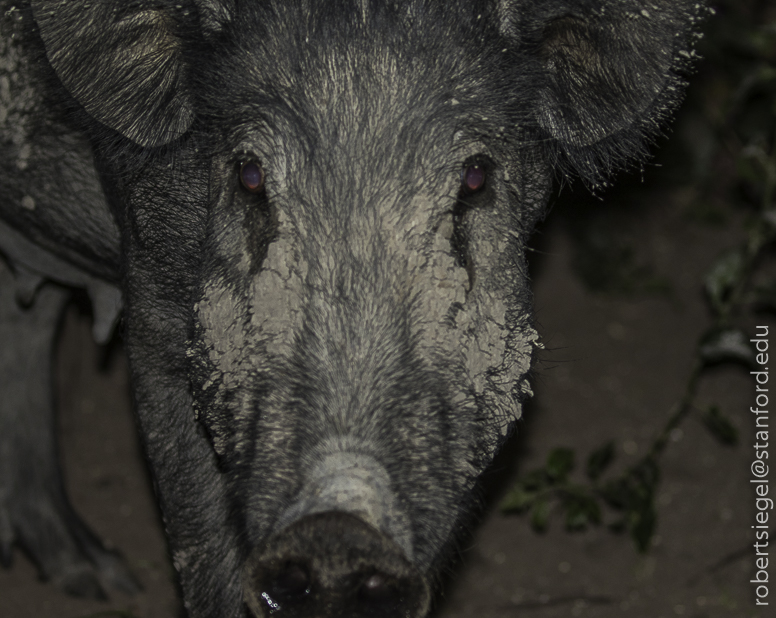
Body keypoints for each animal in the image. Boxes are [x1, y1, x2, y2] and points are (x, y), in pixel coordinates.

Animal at [0, 1, 708, 616]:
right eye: (249, 176)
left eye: (475, 179)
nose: (337, 528)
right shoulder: (158, 309)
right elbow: (200, 538)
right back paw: (105, 580)